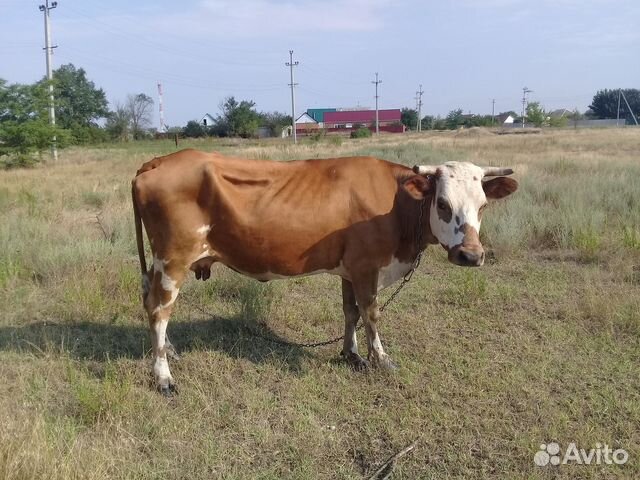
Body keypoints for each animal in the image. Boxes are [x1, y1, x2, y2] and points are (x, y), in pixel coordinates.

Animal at [131, 149, 518, 394]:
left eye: (483, 205)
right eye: (442, 203)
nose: (471, 255)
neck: (397, 206)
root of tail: (157, 162)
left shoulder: (349, 269)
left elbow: (350, 313)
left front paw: (352, 354)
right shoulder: (366, 266)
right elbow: (371, 314)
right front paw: (381, 360)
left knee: (152, 303)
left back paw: (169, 351)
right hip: (173, 258)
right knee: (159, 310)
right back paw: (163, 376)